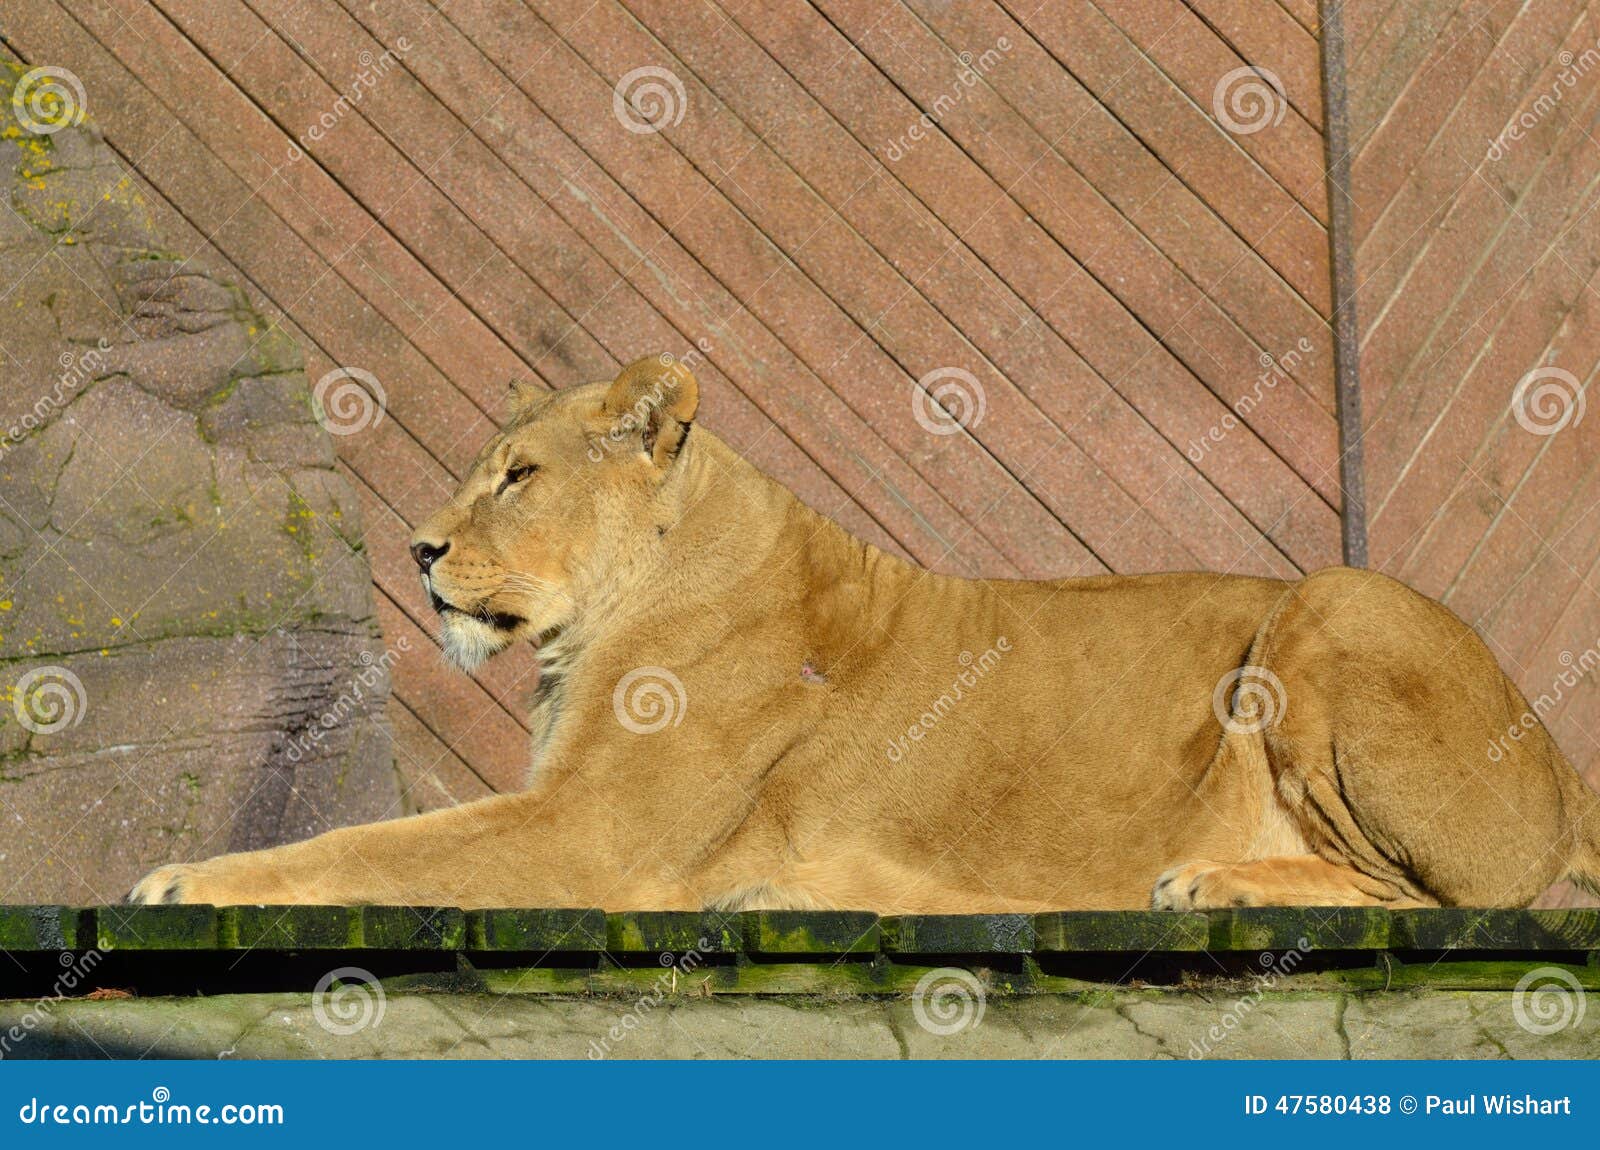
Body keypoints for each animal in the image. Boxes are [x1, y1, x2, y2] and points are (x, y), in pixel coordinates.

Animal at [131, 356, 1600, 912]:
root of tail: (1562, 759)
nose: (419, 552)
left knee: (1453, 901)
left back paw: (1206, 883)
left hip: (1330, 600)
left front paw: (186, 879)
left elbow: (364, 846)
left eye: (518, 475)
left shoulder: (590, 836)